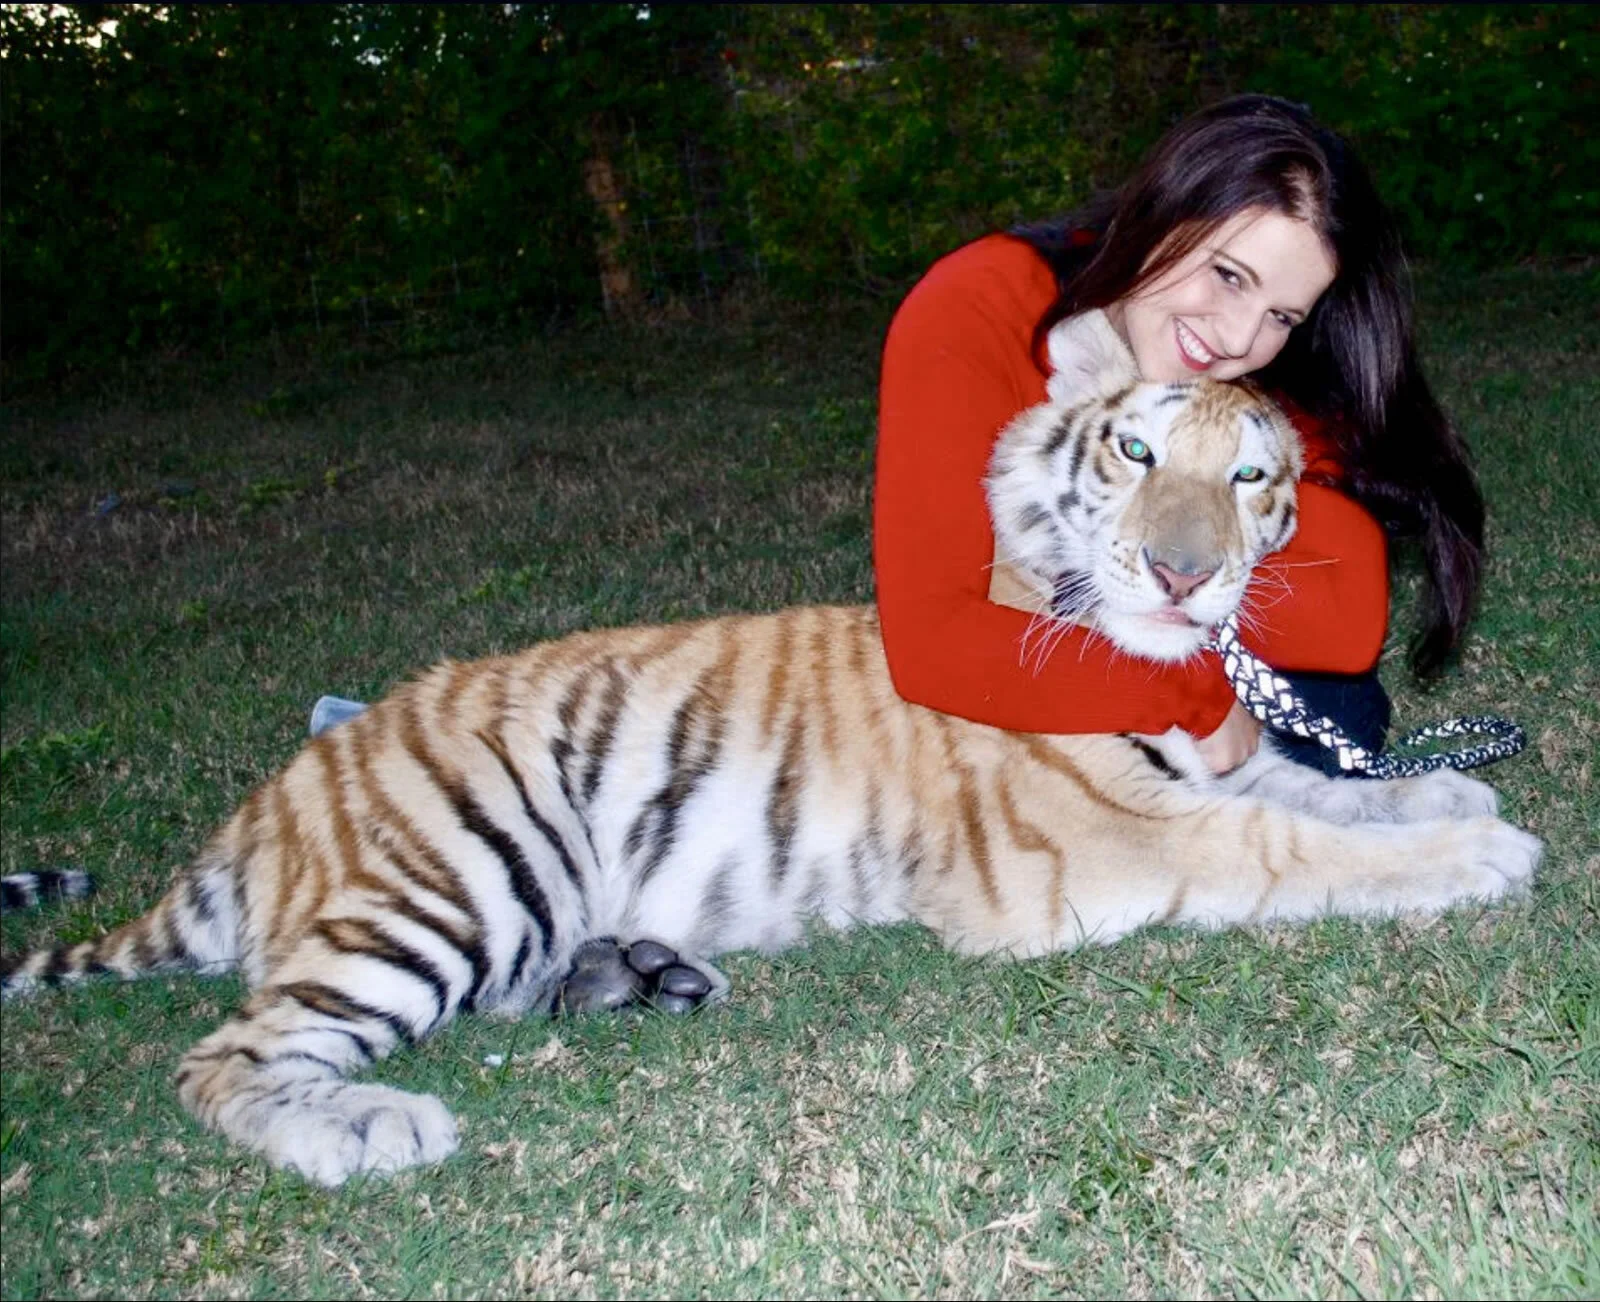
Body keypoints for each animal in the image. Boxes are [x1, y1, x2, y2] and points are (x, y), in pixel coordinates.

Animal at [0, 309, 1541, 1187]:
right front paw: (1484, 850)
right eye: (1135, 454)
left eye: (1252, 476)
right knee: (226, 1054)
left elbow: (1318, 784)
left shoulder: (1200, 764)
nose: (1183, 574)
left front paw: (1449, 790)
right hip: (456, 877)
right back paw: (369, 1129)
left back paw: (640, 975)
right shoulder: (1095, 844)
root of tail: (260, 804)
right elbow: (1285, 839)